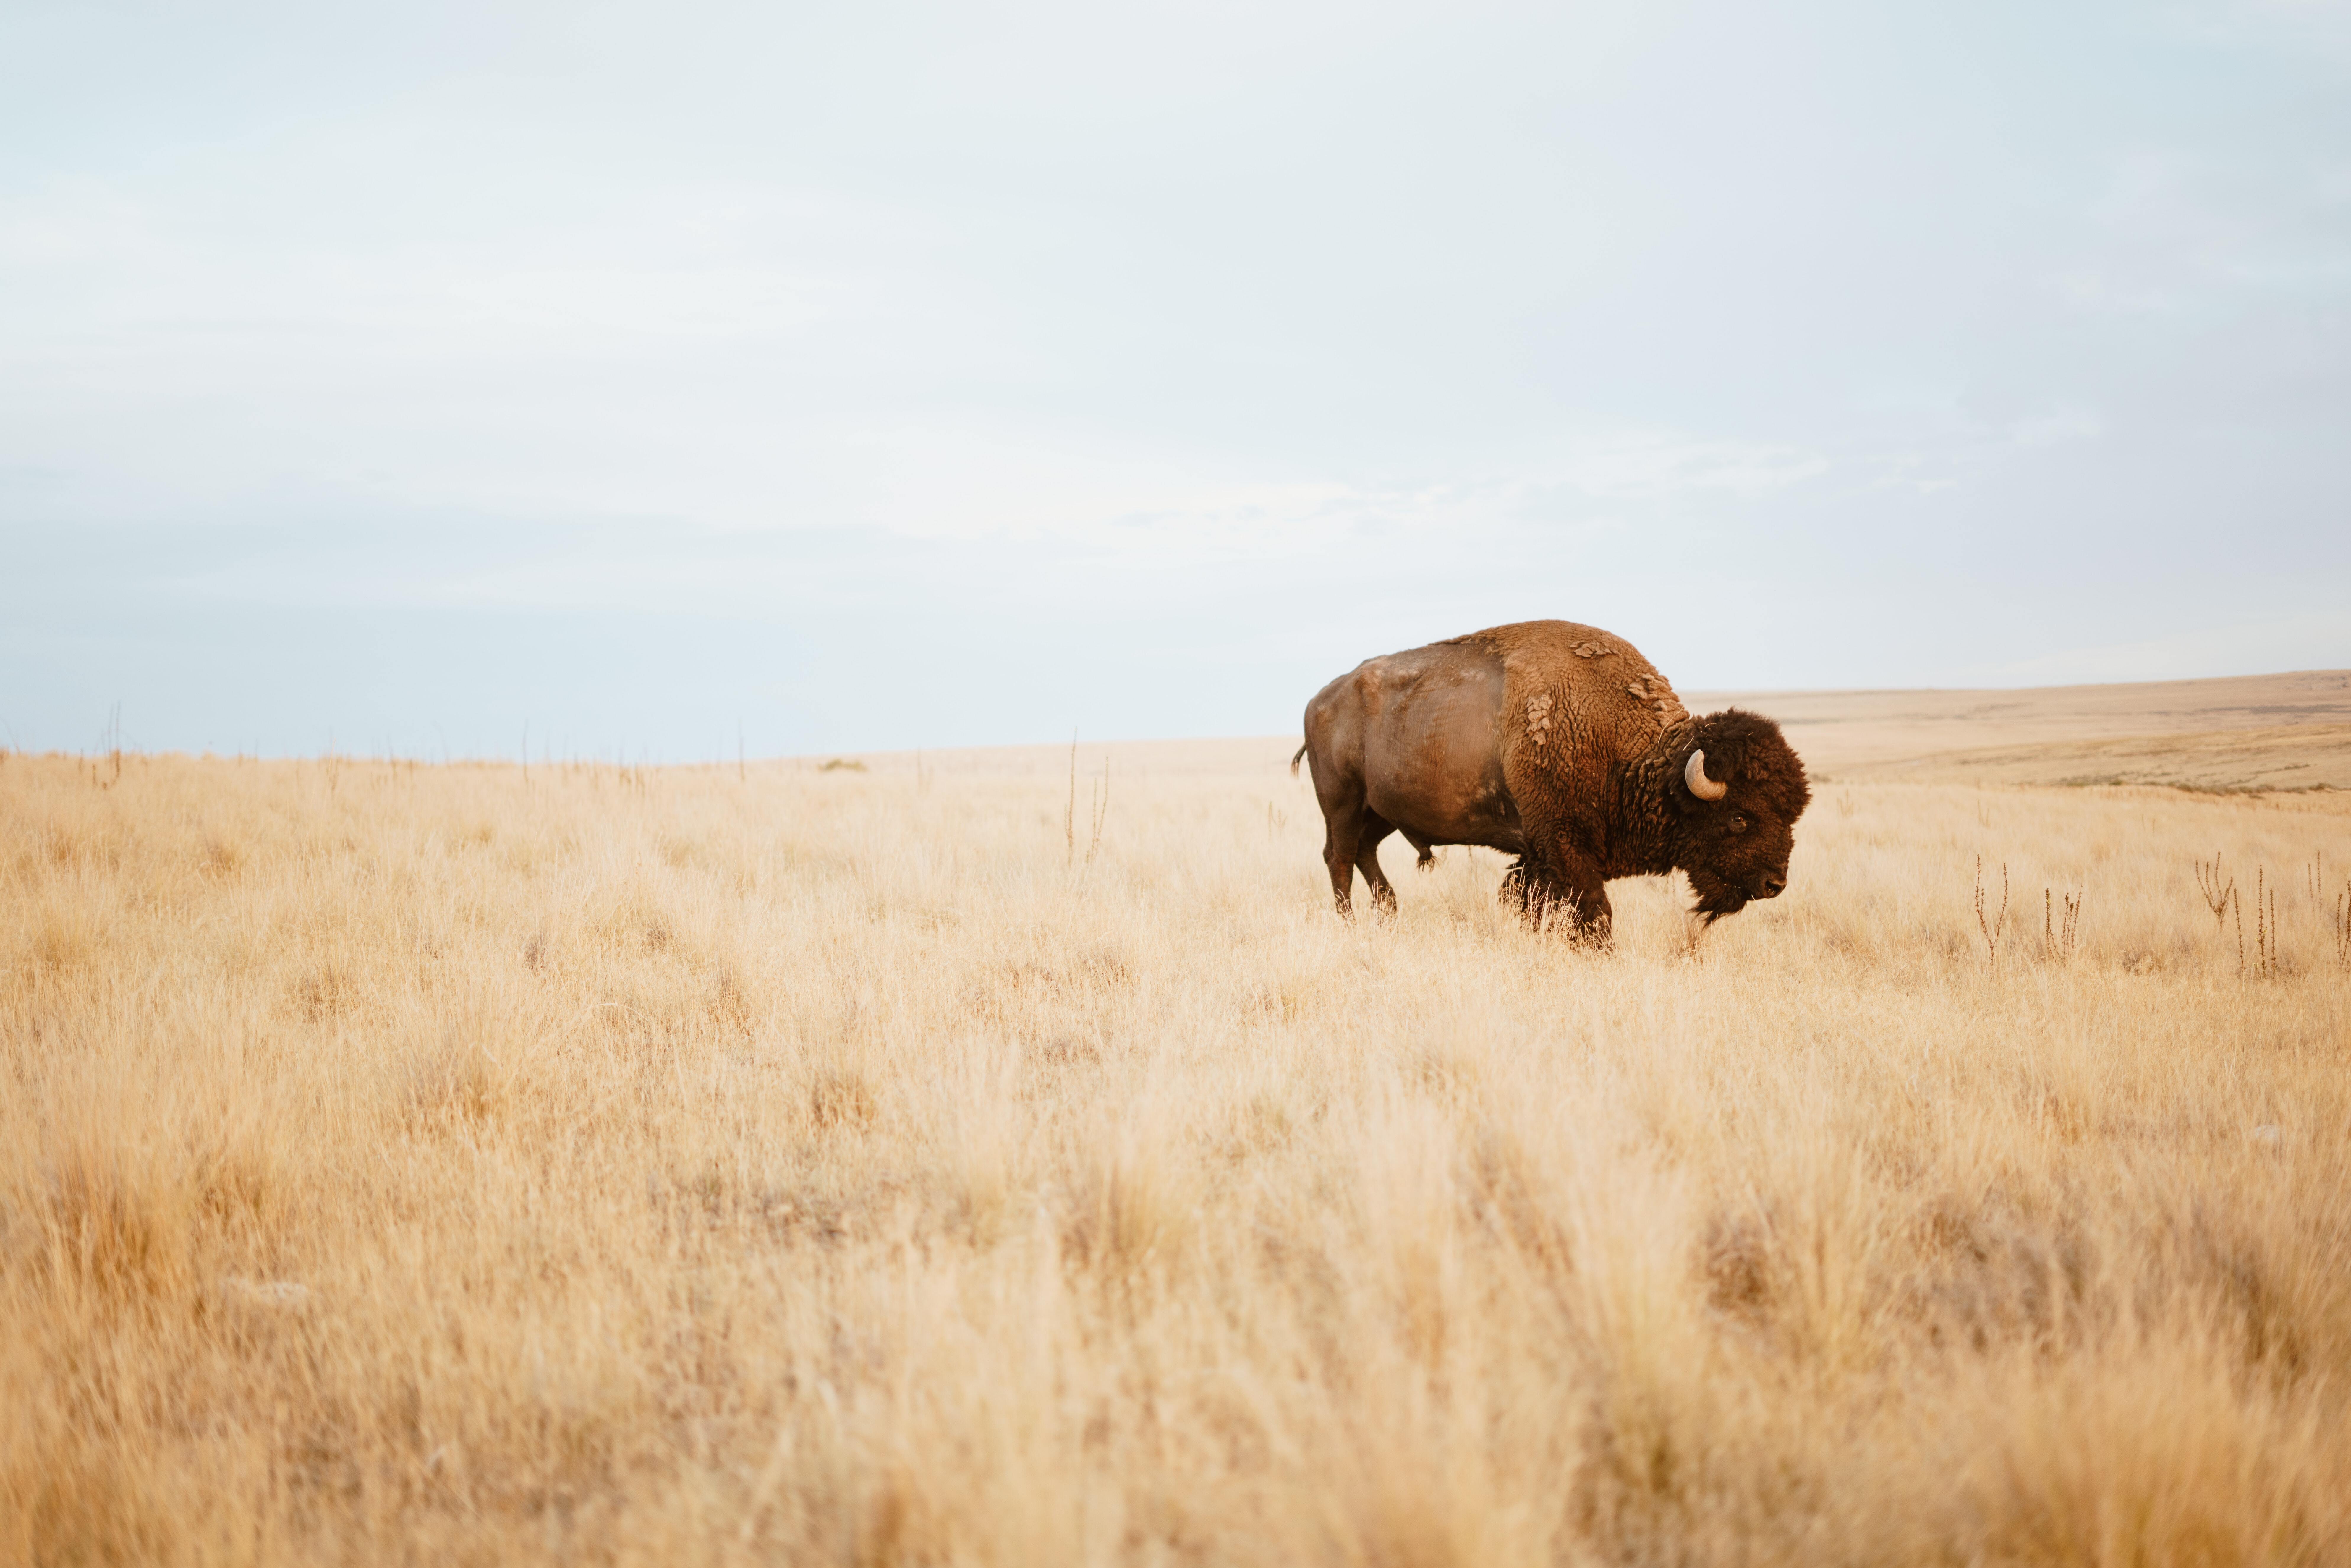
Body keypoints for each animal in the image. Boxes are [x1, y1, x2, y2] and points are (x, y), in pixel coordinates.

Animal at [1290, 620, 1810, 942]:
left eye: (1792, 815)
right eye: (1739, 817)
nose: (1775, 883)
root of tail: (1319, 700)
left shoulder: (1539, 854)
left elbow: (1530, 902)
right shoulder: (1564, 845)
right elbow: (1594, 912)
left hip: (1382, 812)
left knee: (1365, 853)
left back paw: (1390, 912)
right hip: (1343, 803)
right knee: (1339, 858)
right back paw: (1350, 923)